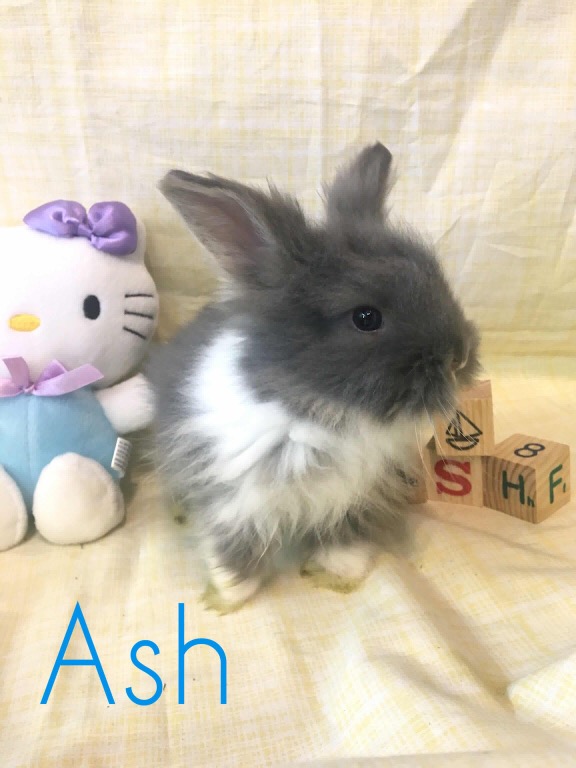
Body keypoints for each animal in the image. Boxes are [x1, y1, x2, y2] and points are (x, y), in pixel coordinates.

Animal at [147, 143, 480, 613]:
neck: (322, 415)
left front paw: (339, 571)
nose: (460, 357)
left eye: (437, 280)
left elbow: (345, 532)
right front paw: (229, 594)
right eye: (366, 318)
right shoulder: (236, 498)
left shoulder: (356, 494)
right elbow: (234, 543)